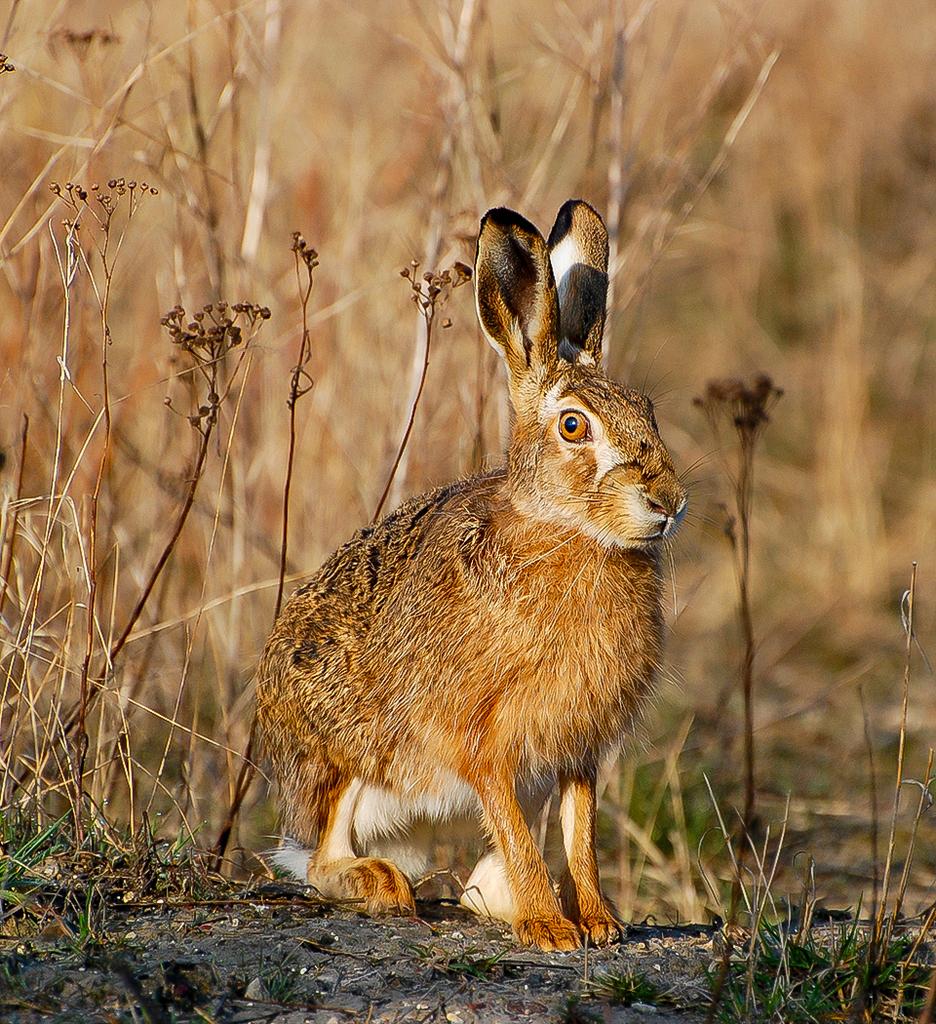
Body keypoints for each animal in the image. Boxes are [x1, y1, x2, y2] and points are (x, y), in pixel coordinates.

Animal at [255, 199, 687, 952]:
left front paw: (600, 923)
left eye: (648, 413)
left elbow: (580, 835)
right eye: (573, 427)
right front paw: (552, 930)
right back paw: (386, 886)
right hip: (345, 755)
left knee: (478, 877)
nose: (667, 503)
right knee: (323, 859)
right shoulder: (487, 742)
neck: (567, 532)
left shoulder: (577, 749)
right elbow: (517, 829)